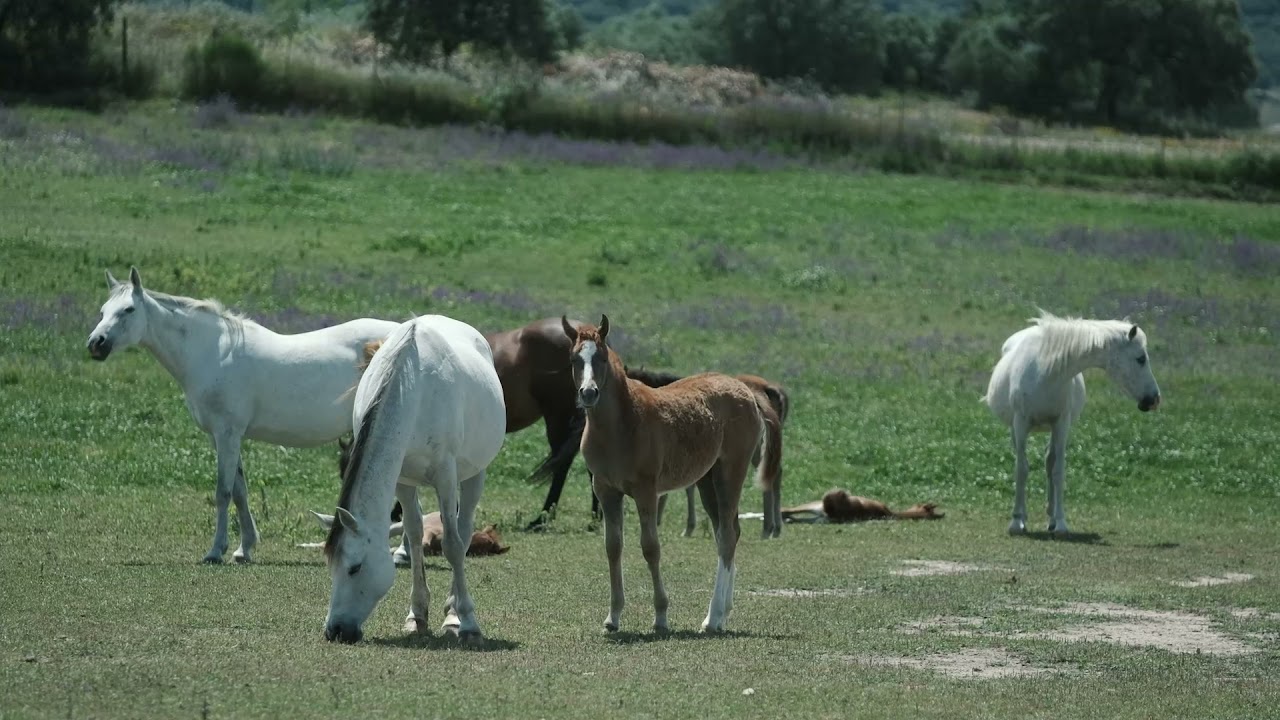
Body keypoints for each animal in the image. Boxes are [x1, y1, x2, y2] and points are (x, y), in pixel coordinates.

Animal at [86, 267, 399, 564]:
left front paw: (215, 551)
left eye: (128, 309)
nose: (96, 344)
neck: (211, 352)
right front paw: (244, 548)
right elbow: (239, 490)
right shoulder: (220, 437)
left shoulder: (227, 433)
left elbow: (223, 492)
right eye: (103, 311)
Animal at [322, 315, 505, 643]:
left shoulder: (446, 475)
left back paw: (455, 613)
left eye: (355, 568)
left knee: (464, 529)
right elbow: (413, 533)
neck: (413, 389)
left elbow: (453, 546)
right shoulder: (403, 480)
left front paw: (467, 622)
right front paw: (416, 615)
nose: (335, 630)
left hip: (475, 473)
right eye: (330, 565)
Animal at [984, 311, 1161, 536]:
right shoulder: (1020, 423)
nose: (1154, 399)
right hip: (1016, 430)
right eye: (1141, 359)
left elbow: (1058, 470)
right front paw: (1017, 521)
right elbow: (1021, 469)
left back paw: (1051, 518)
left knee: (1049, 462)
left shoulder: (1061, 423)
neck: (1045, 371)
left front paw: (1060, 523)